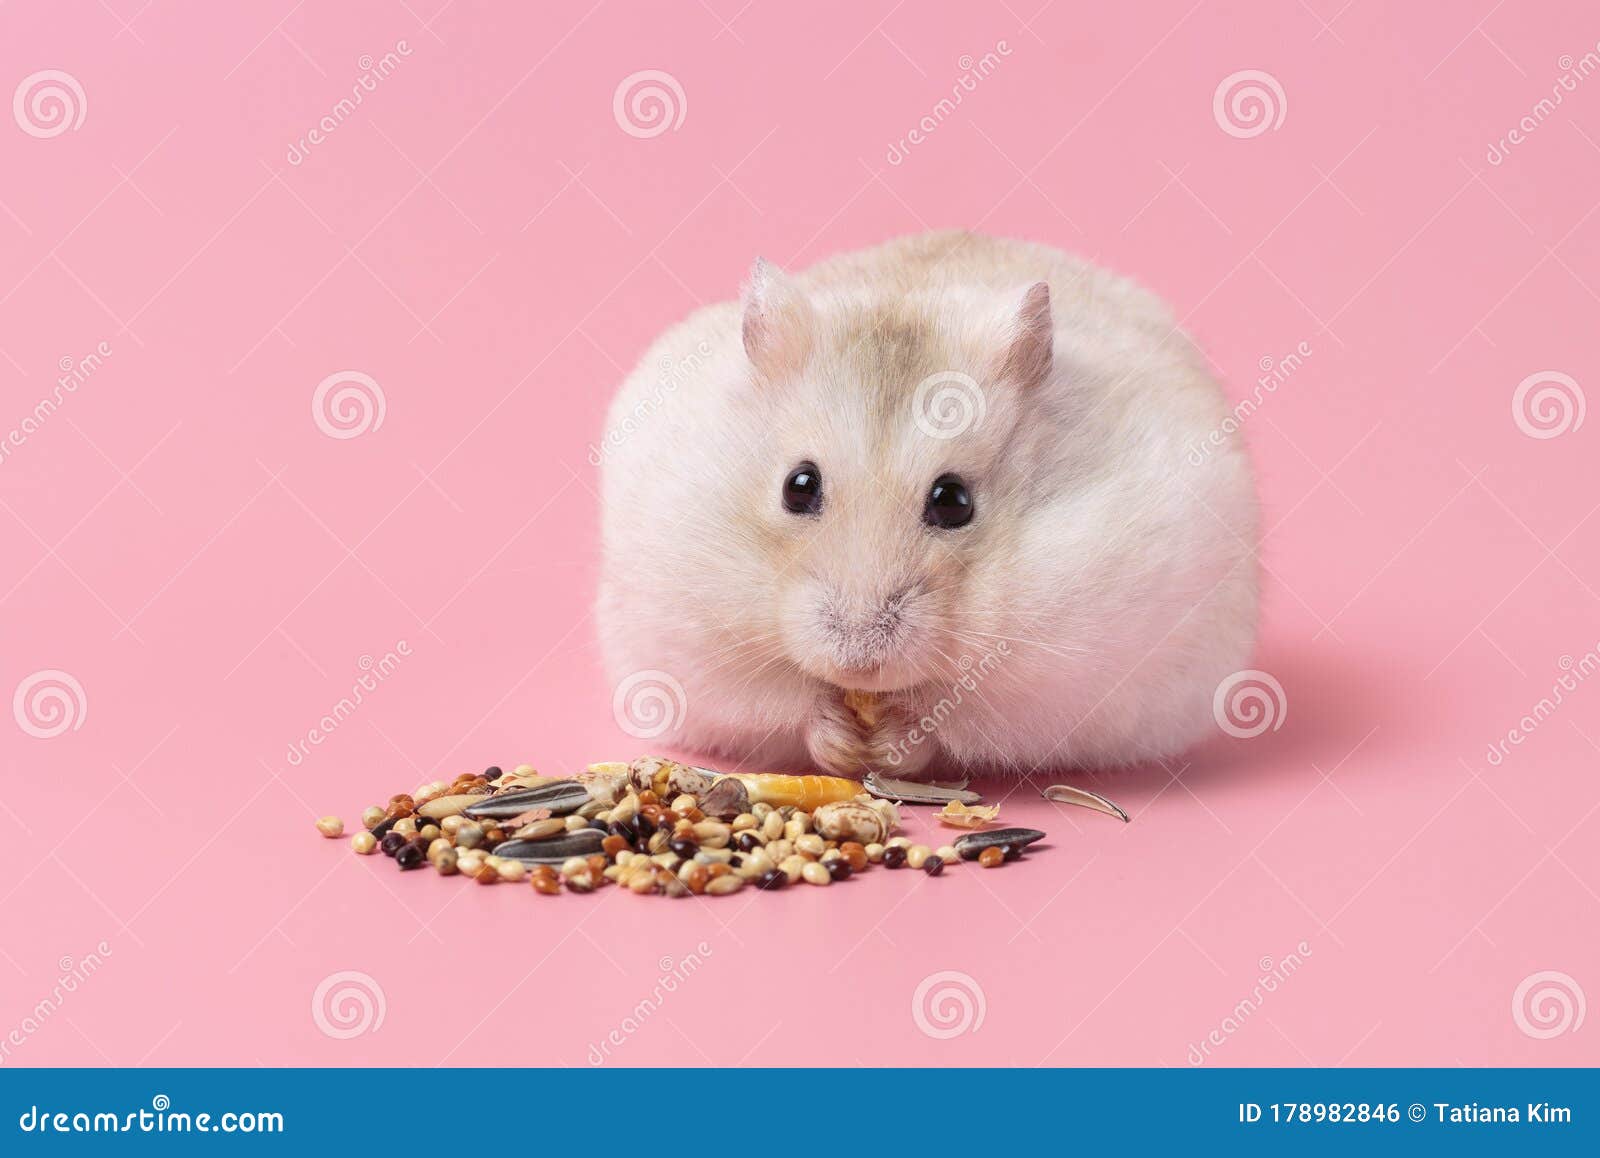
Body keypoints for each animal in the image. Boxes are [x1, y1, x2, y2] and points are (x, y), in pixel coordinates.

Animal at [596, 231, 1257, 780]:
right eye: (798, 486)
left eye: (954, 500)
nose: (858, 663)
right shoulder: (693, 645)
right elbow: (786, 702)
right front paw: (842, 740)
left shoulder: (1065, 676)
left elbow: (951, 715)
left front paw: (890, 741)